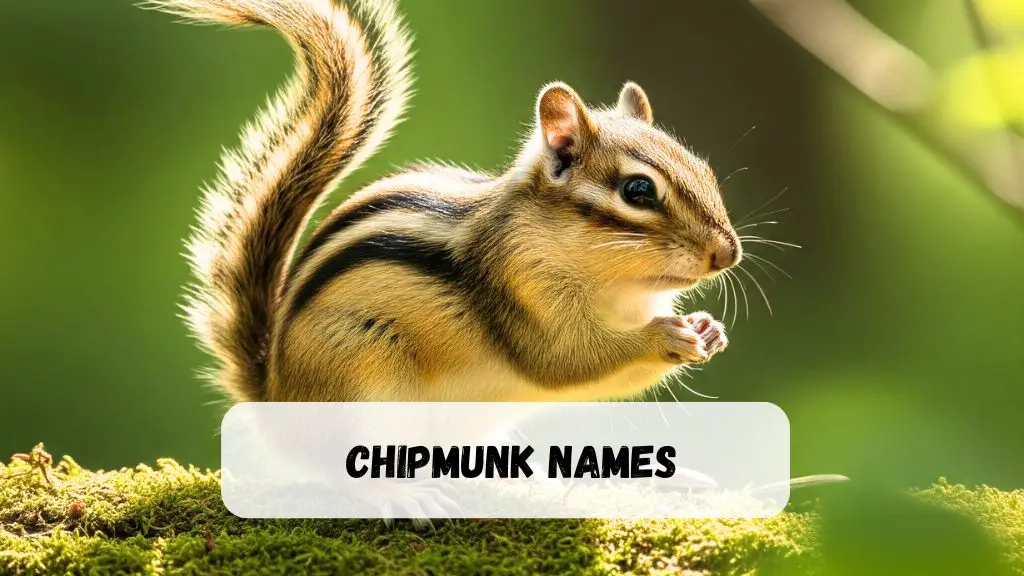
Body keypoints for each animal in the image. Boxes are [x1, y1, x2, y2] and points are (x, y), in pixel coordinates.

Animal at [149, 0, 742, 403]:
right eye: (638, 190)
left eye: (706, 171)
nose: (728, 254)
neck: (620, 287)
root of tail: (275, 393)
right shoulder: (518, 289)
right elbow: (566, 363)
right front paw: (665, 334)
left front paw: (709, 330)